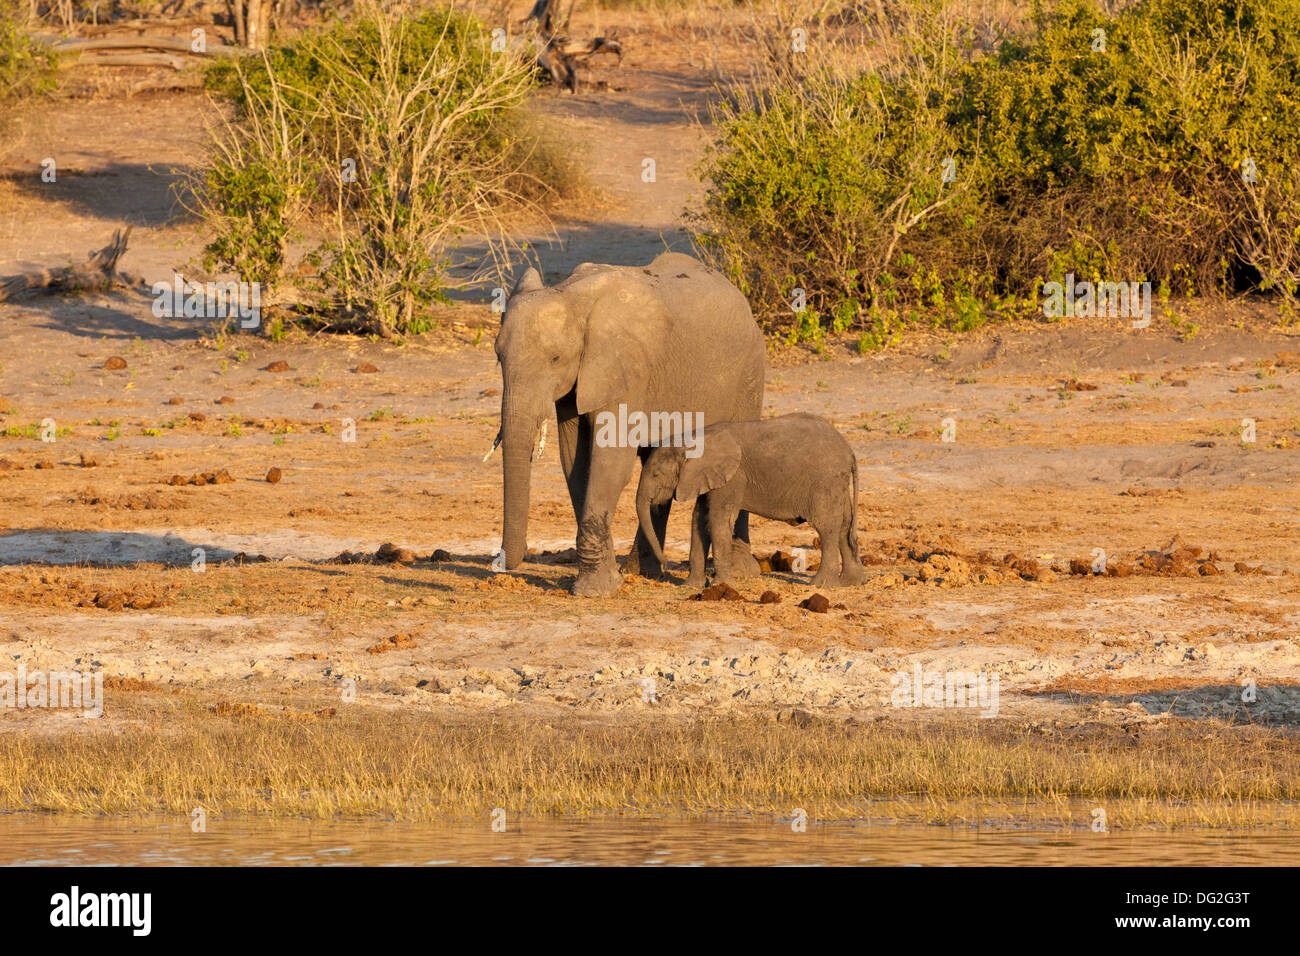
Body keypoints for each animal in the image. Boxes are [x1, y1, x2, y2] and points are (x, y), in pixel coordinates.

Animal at [492, 251, 766, 597]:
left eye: (555, 358)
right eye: (498, 357)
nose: (509, 561)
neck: (571, 297)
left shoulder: (625, 369)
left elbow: (610, 460)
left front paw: (595, 590)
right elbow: (575, 462)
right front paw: (609, 579)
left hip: (750, 373)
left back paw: (741, 571)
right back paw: (644, 570)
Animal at [635, 413, 866, 589]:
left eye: (656, 475)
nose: (665, 565)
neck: (690, 439)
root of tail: (849, 452)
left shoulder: (732, 477)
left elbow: (719, 522)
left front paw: (721, 586)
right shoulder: (708, 478)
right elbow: (699, 521)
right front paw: (691, 587)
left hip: (825, 481)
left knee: (826, 527)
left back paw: (821, 585)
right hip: (837, 484)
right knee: (844, 526)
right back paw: (851, 582)